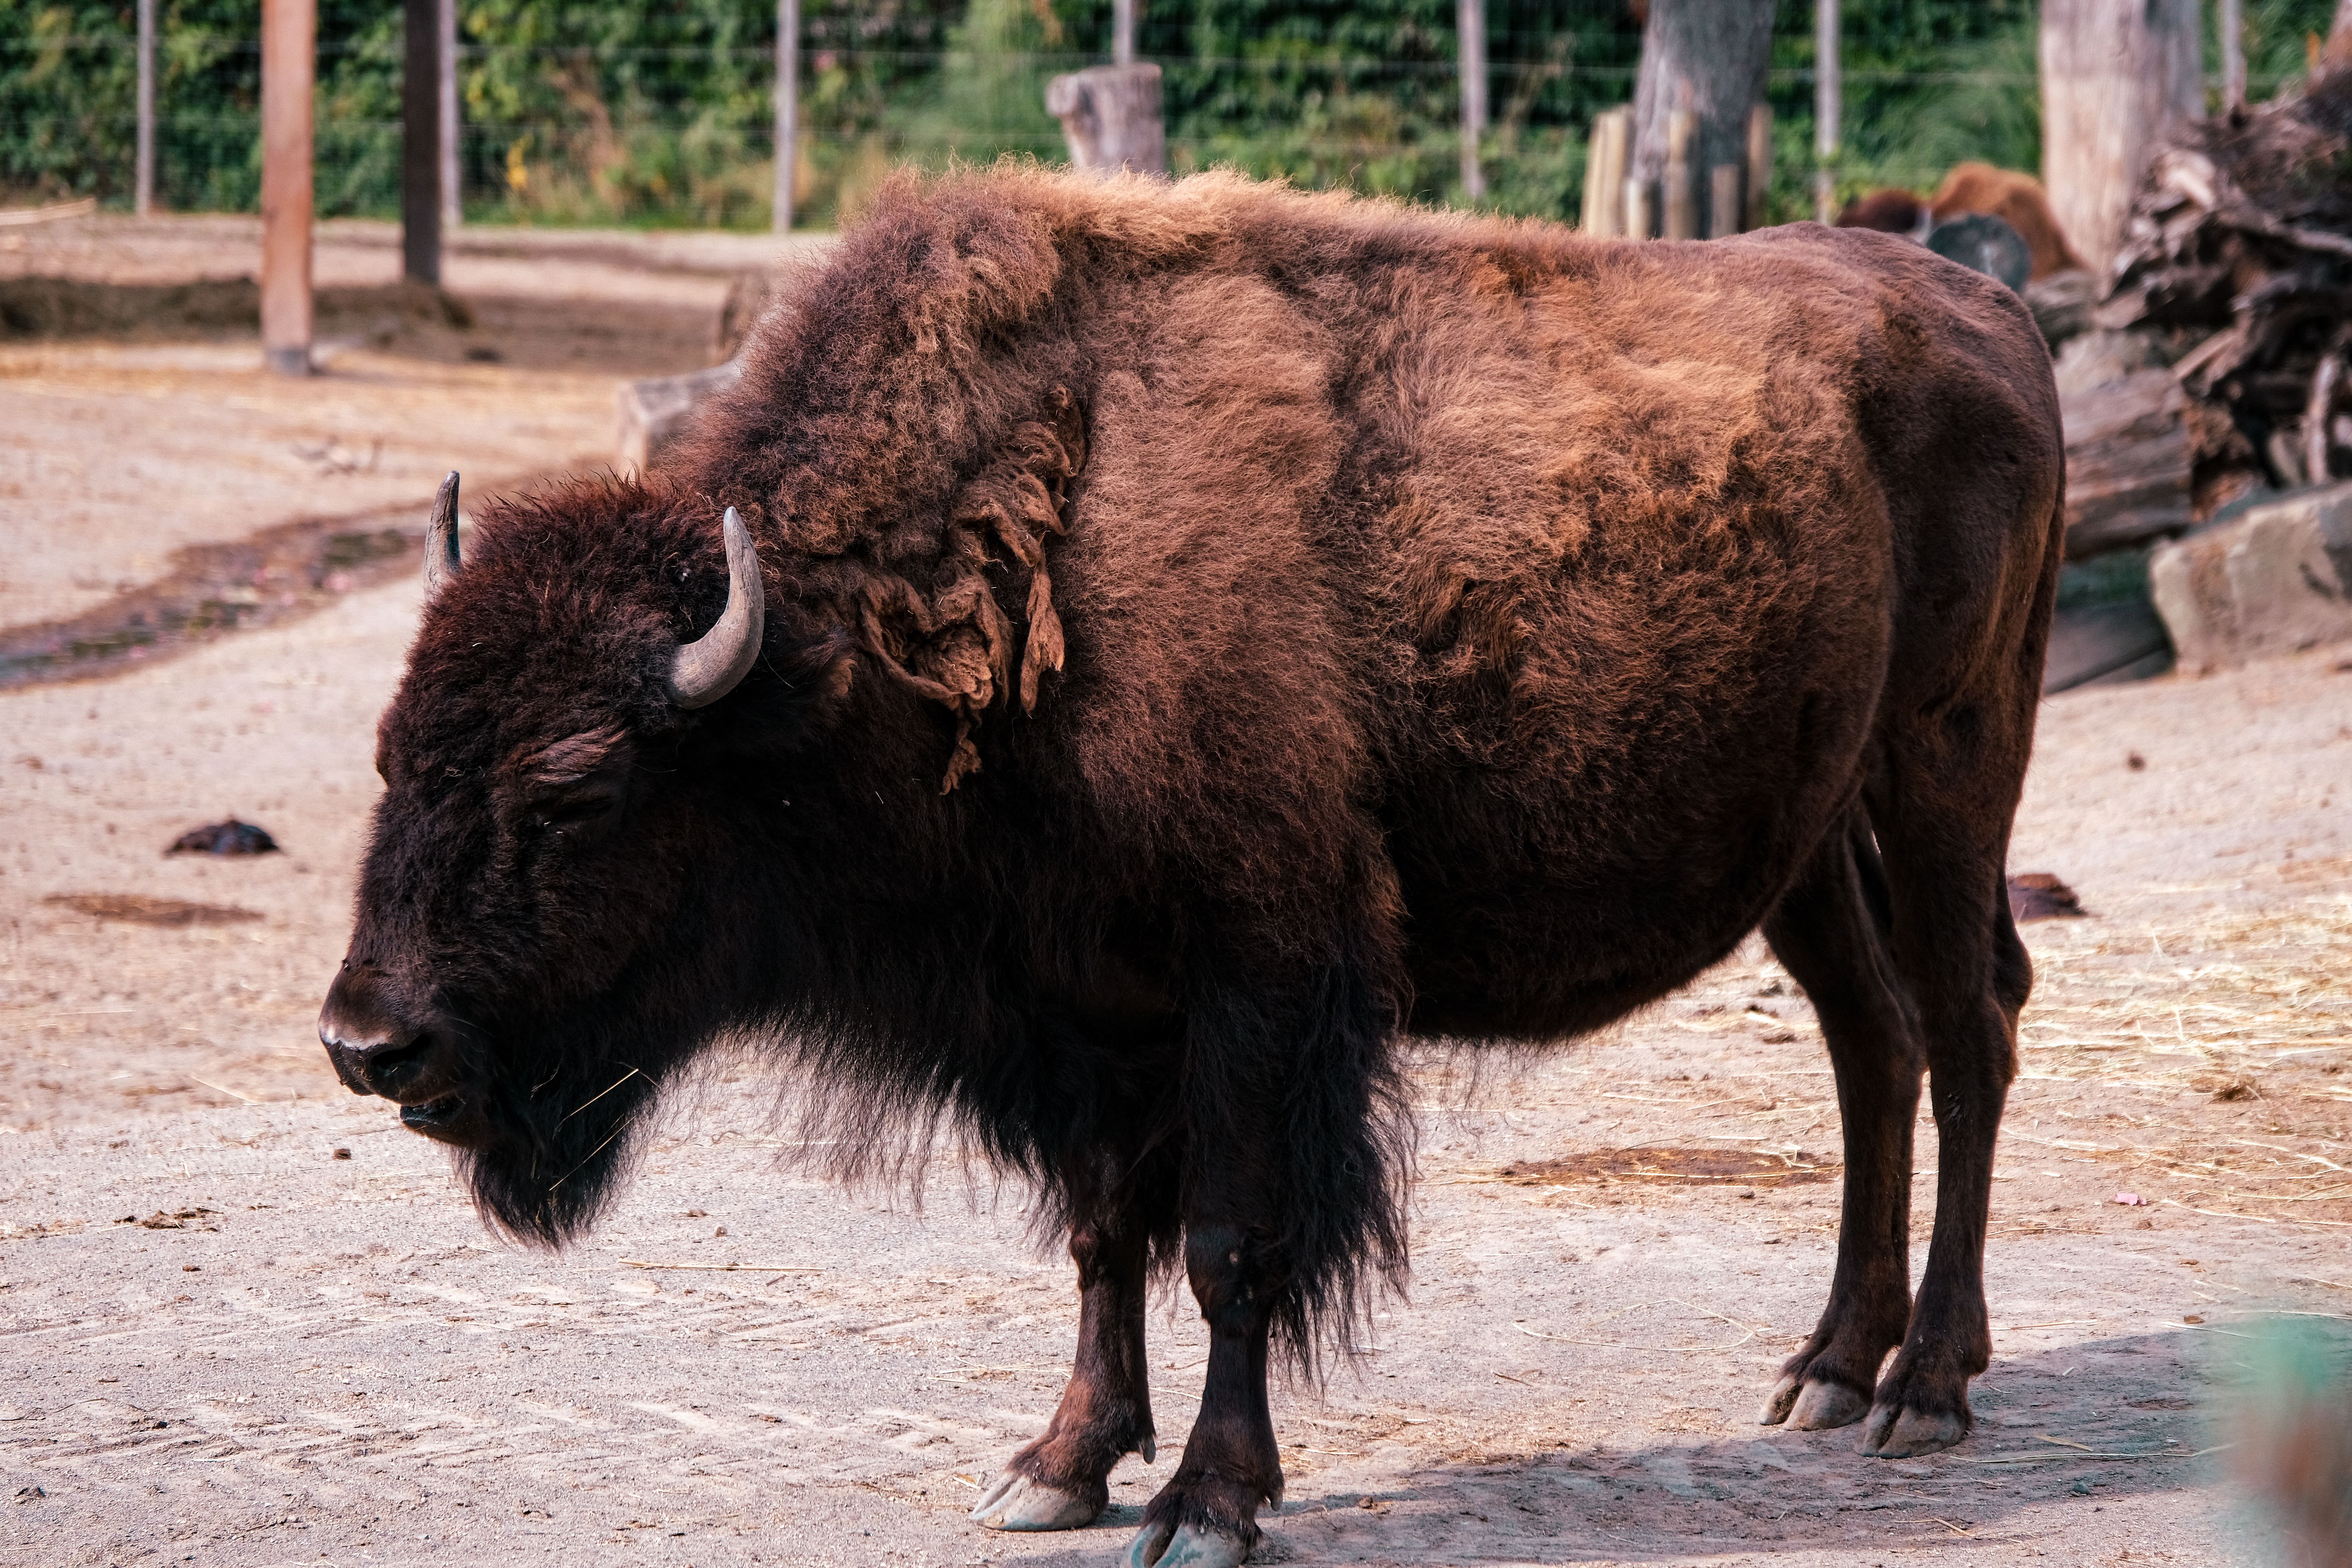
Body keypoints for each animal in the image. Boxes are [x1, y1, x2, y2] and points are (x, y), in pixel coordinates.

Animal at [320, 168, 2064, 1567]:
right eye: (390, 752)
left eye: (575, 790)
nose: (368, 1040)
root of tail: (1984, 306)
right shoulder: (1086, 1008)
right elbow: (1104, 1235)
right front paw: (1056, 1466)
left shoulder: (1261, 982)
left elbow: (1231, 1245)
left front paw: (1209, 1503)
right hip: (1810, 838)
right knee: (1873, 1043)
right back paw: (1824, 1369)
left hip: (1947, 766)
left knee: (1969, 1028)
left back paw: (1924, 1390)